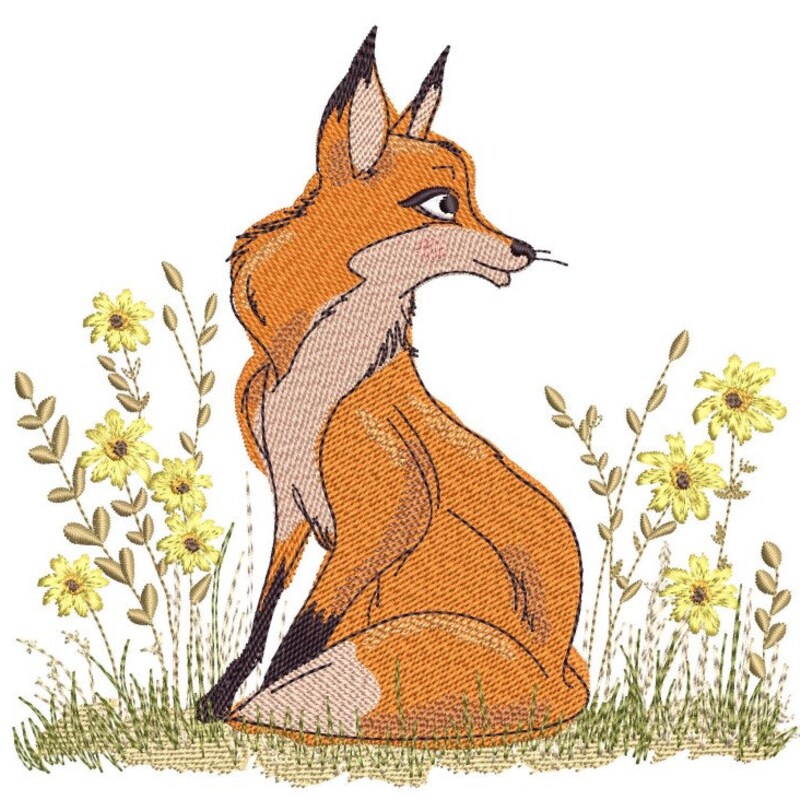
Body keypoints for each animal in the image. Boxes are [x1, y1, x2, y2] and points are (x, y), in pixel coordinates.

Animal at [197, 27, 589, 745]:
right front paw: (214, 701)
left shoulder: (385, 516)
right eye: (442, 204)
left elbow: (299, 639)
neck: (317, 378)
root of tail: (562, 676)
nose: (522, 249)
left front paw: (242, 710)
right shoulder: (294, 504)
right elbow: (267, 618)